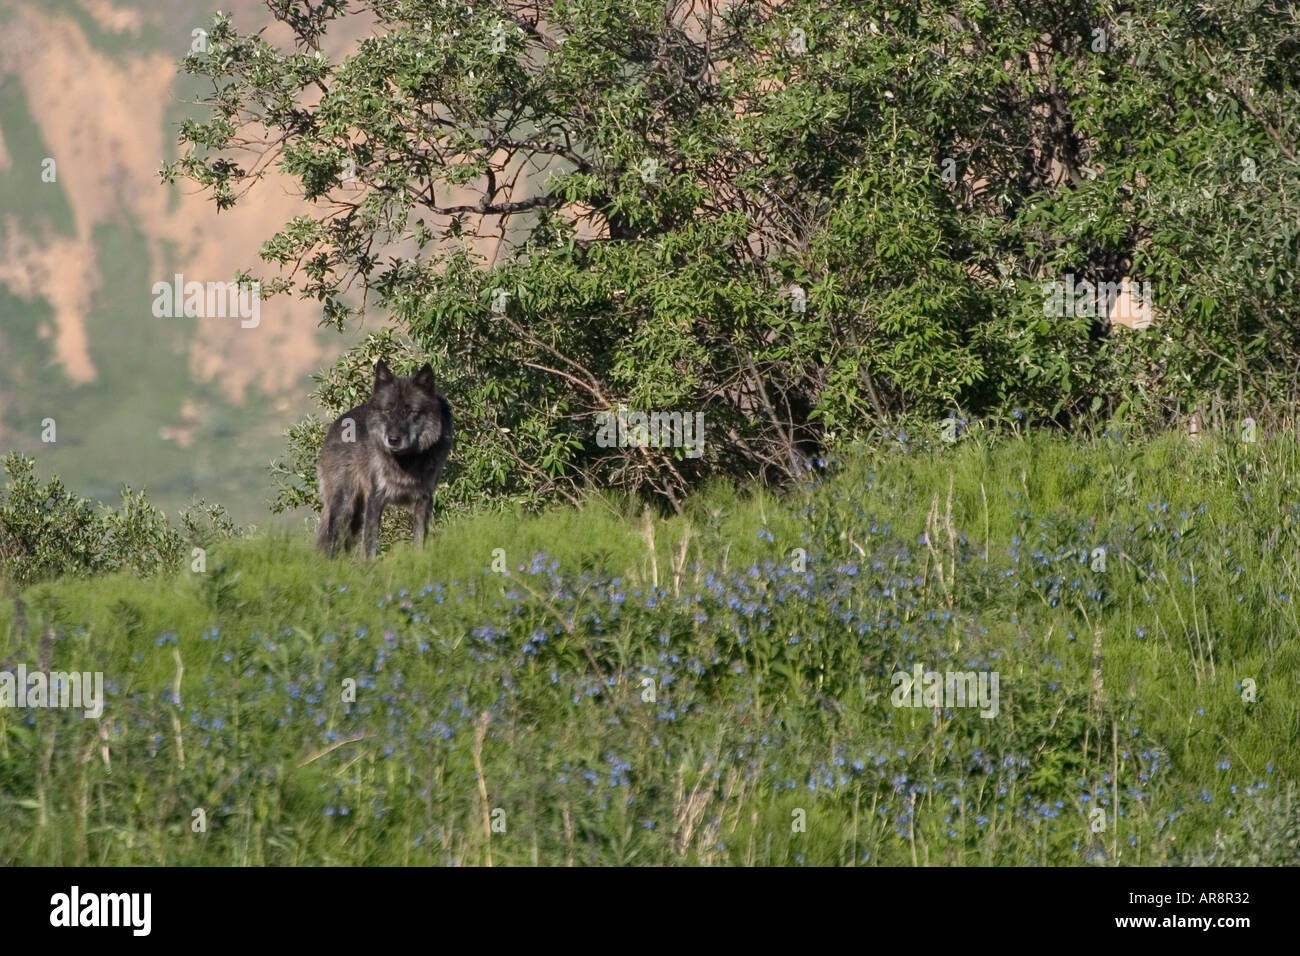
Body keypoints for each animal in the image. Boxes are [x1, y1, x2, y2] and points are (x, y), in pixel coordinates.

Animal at [316, 359, 453, 558]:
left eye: (411, 411)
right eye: (388, 410)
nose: (393, 439)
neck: (405, 460)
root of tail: (337, 423)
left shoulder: (424, 500)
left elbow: (419, 542)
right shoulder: (376, 498)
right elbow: (370, 548)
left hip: (356, 515)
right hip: (344, 504)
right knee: (330, 540)